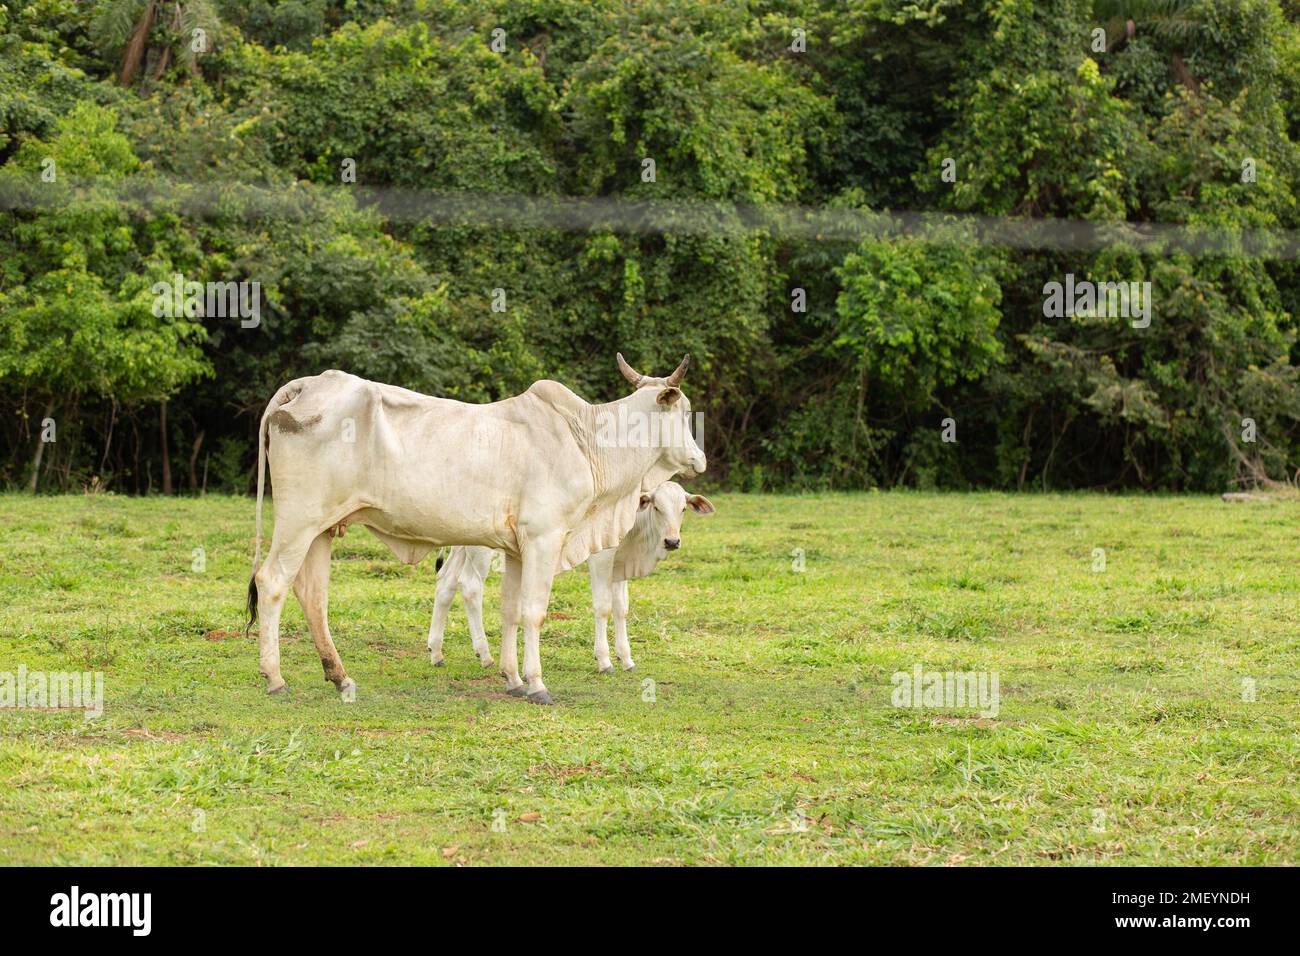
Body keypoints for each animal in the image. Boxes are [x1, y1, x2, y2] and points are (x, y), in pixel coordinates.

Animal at [427, 480, 715, 673]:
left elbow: (621, 608)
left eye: (683, 509)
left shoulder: (620, 566)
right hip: (481, 550)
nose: (672, 541)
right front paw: (604, 660)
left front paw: (627, 659)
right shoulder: (601, 558)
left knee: (446, 583)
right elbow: (603, 607)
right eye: (656, 507)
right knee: (470, 587)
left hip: (462, 545)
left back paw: (436, 651)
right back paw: (484, 654)